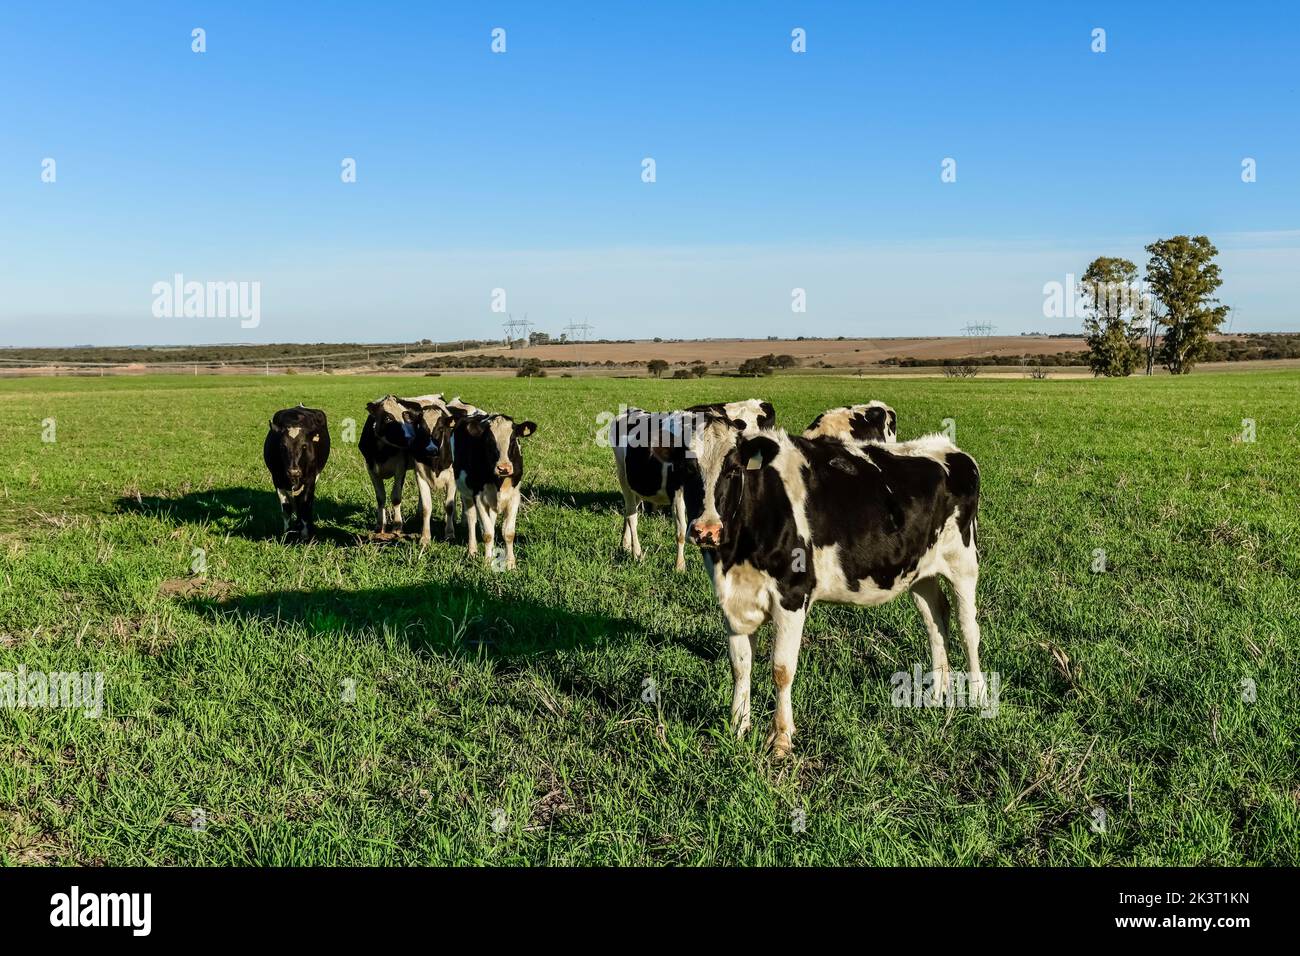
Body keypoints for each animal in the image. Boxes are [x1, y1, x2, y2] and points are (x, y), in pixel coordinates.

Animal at [263, 405, 331, 541]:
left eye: (304, 446)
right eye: (283, 446)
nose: (293, 472)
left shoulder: (309, 480)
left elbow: (304, 505)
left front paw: (305, 535)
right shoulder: (277, 480)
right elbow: (286, 508)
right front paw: (287, 534)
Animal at [451, 411, 538, 569]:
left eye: (513, 439)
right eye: (489, 441)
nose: (503, 468)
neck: (499, 482)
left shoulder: (514, 497)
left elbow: (508, 533)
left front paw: (510, 563)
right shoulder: (478, 497)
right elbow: (487, 534)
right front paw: (487, 563)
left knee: (491, 521)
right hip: (466, 494)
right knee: (472, 519)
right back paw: (472, 551)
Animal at [610, 399, 774, 571]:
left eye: (734, 469)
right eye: (688, 467)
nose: (708, 530)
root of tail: (630, 410)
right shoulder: (676, 492)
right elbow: (681, 531)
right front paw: (679, 567)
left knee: (629, 512)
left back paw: (625, 544)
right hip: (623, 476)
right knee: (632, 516)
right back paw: (637, 553)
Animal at [661, 414, 983, 757]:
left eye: (734, 468)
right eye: (688, 469)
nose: (707, 530)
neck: (736, 554)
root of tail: (948, 448)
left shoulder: (792, 595)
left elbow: (781, 669)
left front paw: (781, 739)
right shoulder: (732, 601)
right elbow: (740, 665)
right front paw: (738, 729)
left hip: (963, 563)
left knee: (968, 628)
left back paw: (977, 697)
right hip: (920, 573)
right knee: (936, 623)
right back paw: (936, 696)